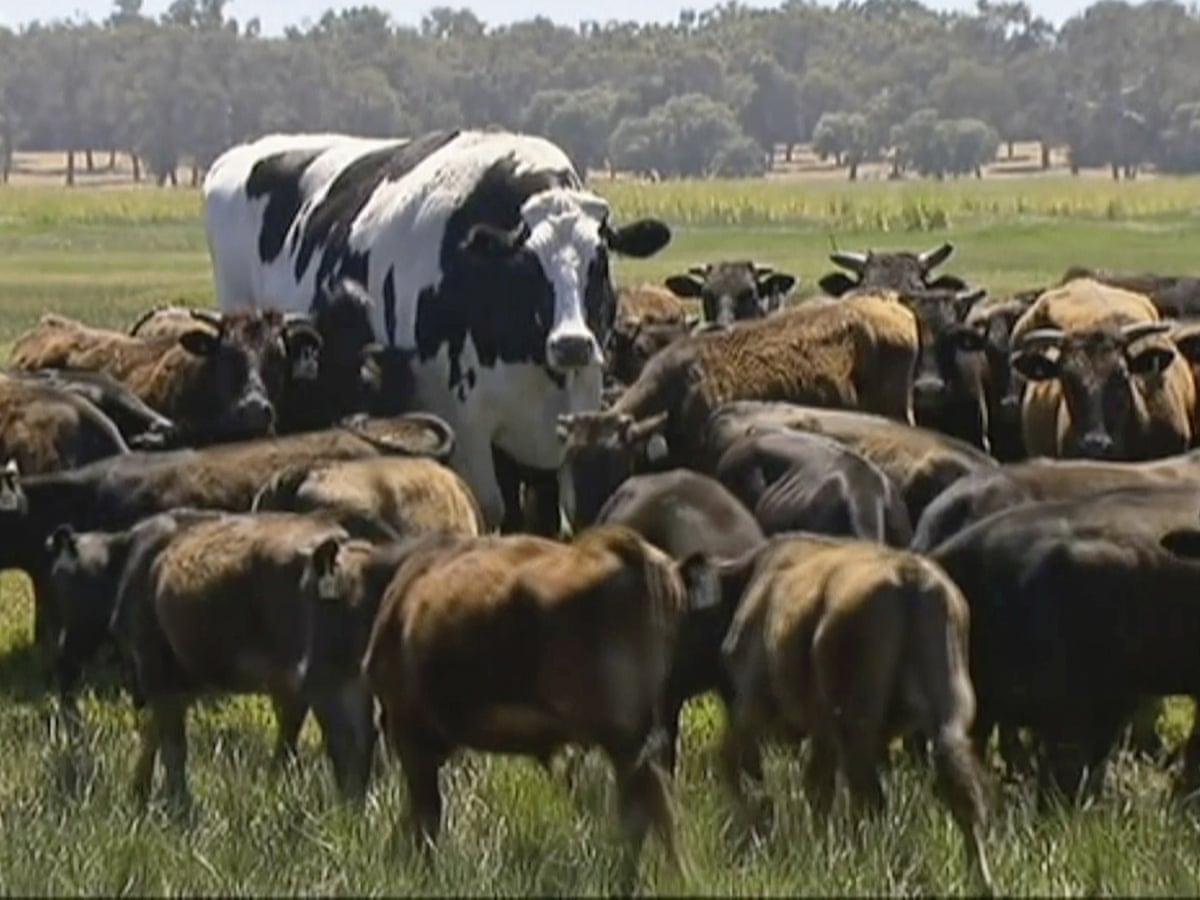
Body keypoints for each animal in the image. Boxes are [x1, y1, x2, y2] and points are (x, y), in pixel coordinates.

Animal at [686, 535, 993, 897]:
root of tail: (912, 578)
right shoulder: (822, 733)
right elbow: (817, 789)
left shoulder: (750, 709)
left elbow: (742, 771)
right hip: (945, 720)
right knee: (961, 795)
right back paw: (980, 882)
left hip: (856, 728)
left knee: (870, 797)